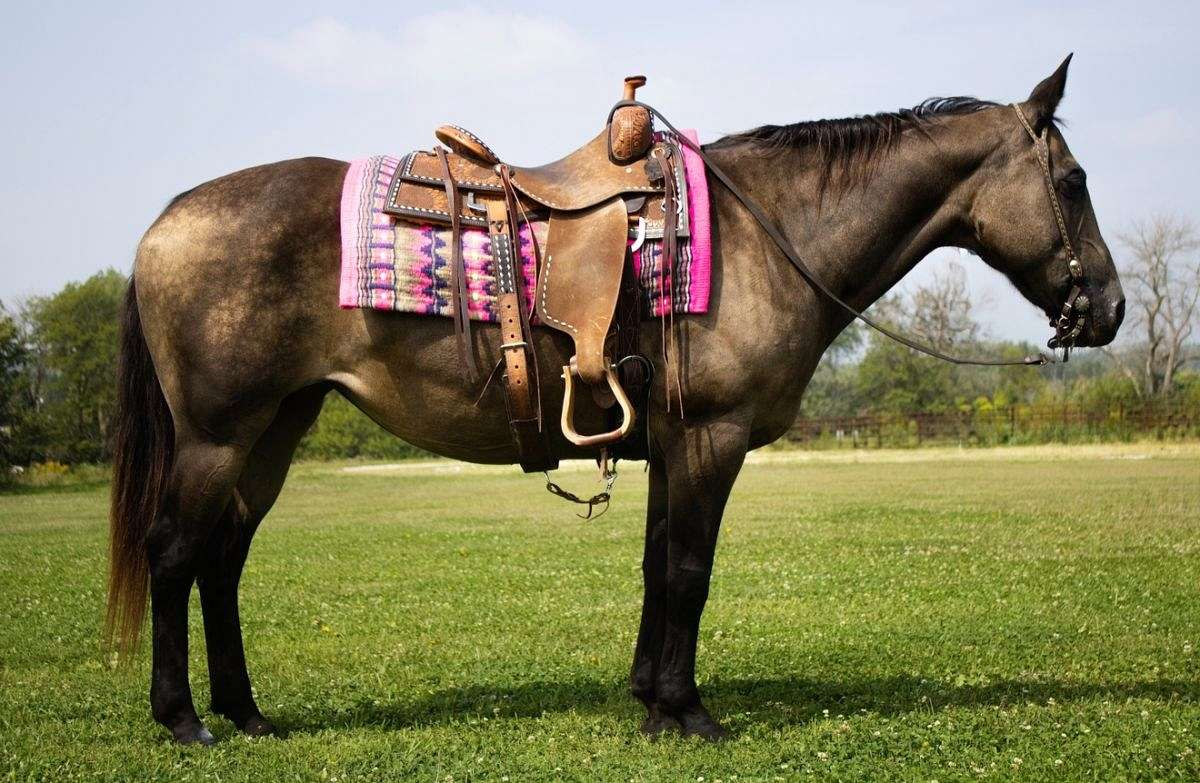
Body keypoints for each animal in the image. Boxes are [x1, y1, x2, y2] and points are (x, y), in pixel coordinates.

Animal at [107, 56, 1124, 744]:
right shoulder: (712, 441)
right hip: (216, 435)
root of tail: (164, 223)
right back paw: (184, 717)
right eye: (1074, 181)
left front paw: (649, 698)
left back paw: (247, 711)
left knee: (223, 561)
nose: (1109, 308)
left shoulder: (672, 447)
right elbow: (690, 572)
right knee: (175, 553)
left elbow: (655, 567)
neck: (768, 234)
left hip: (275, 430)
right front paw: (688, 711)